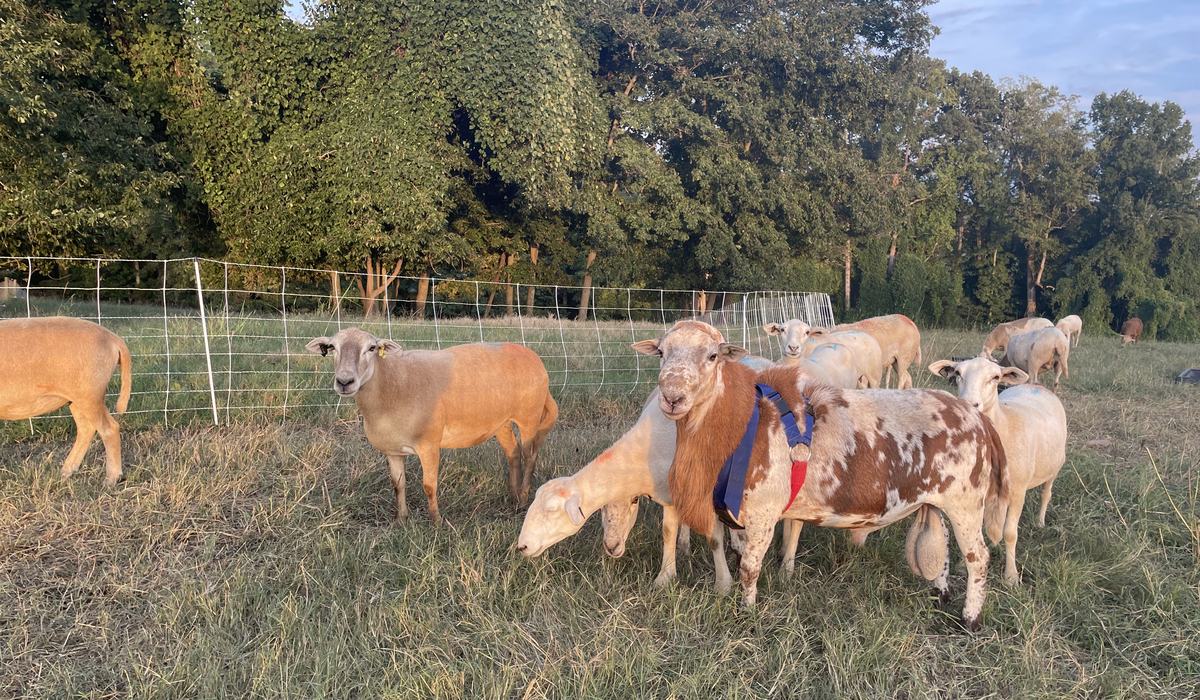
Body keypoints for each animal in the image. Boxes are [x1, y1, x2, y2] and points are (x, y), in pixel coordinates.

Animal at [0, 317, 131, 485]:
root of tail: (113, 338)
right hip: (76, 399)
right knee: (86, 429)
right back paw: (66, 472)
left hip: (89, 394)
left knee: (110, 429)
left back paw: (111, 479)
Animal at [306, 328, 557, 523]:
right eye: (332, 347)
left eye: (371, 348)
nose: (344, 381)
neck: (391, 385)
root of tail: (533, 356)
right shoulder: (393, 450)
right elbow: (398, 484)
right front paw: (402, 520)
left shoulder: (429, 444)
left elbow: (429, 485)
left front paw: (436, 521)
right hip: (500, 421)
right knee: (513, 454)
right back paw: (513, 497)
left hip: (529, 415)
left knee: (530, 456)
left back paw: (523, 498)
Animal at [929, 357, 1067, 584]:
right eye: (957, 374)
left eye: (995, 377)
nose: (969, 405)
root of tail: (1035, 386)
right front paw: (963, 565)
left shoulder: (1018, 491)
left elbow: (1010, 533)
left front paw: (1011, 576)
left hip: (1054, 467)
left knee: (1047, 493)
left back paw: (1040, 522)